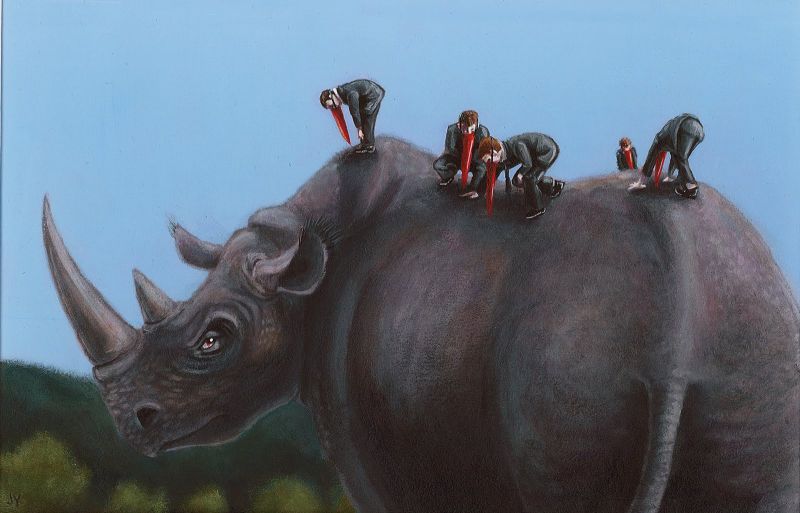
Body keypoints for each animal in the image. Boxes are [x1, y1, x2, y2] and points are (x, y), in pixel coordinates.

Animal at [43, 137, 799, 513]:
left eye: (215, 336)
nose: (128, 420)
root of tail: (677, 300)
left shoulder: (366, 436)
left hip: (572, 355)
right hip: (754, 341)